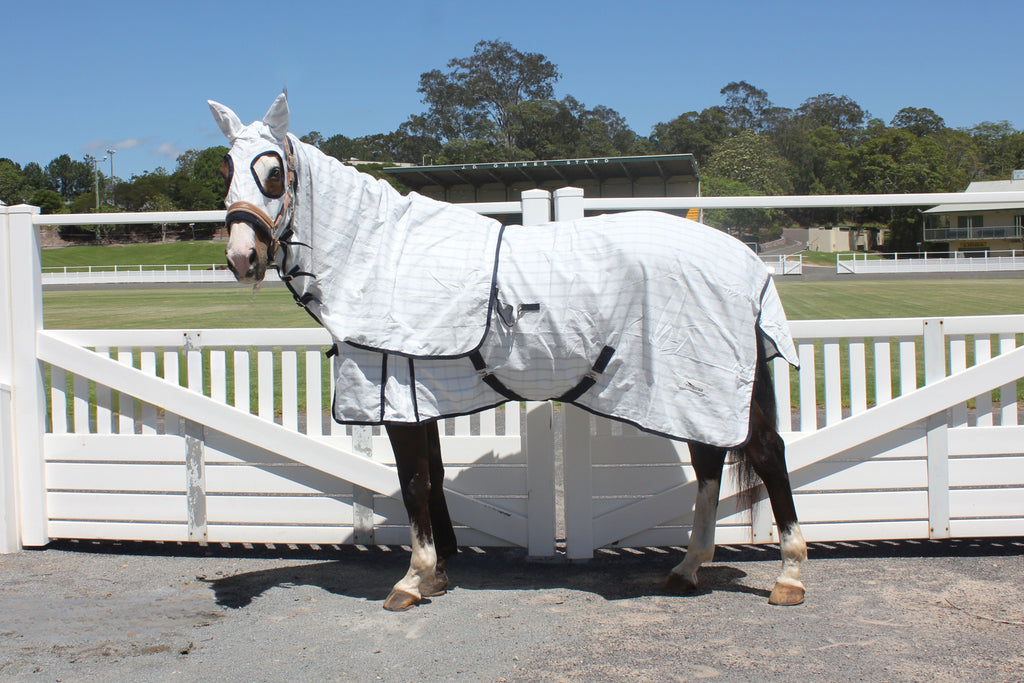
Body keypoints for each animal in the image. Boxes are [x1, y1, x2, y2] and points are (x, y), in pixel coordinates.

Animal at [210, 93, 808, 611]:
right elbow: (433, 474)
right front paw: (438, 572)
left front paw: (411, 580)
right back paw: (688, 569)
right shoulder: (420, 395)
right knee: (710, 464)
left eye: (274, 172)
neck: (380, 254)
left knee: (765, 453)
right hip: (691, 397)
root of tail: (747, 264)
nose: (242, 257)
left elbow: (412, 483)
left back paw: (789, 575)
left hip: (704, 389)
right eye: (226, 170)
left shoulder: (397, 397)